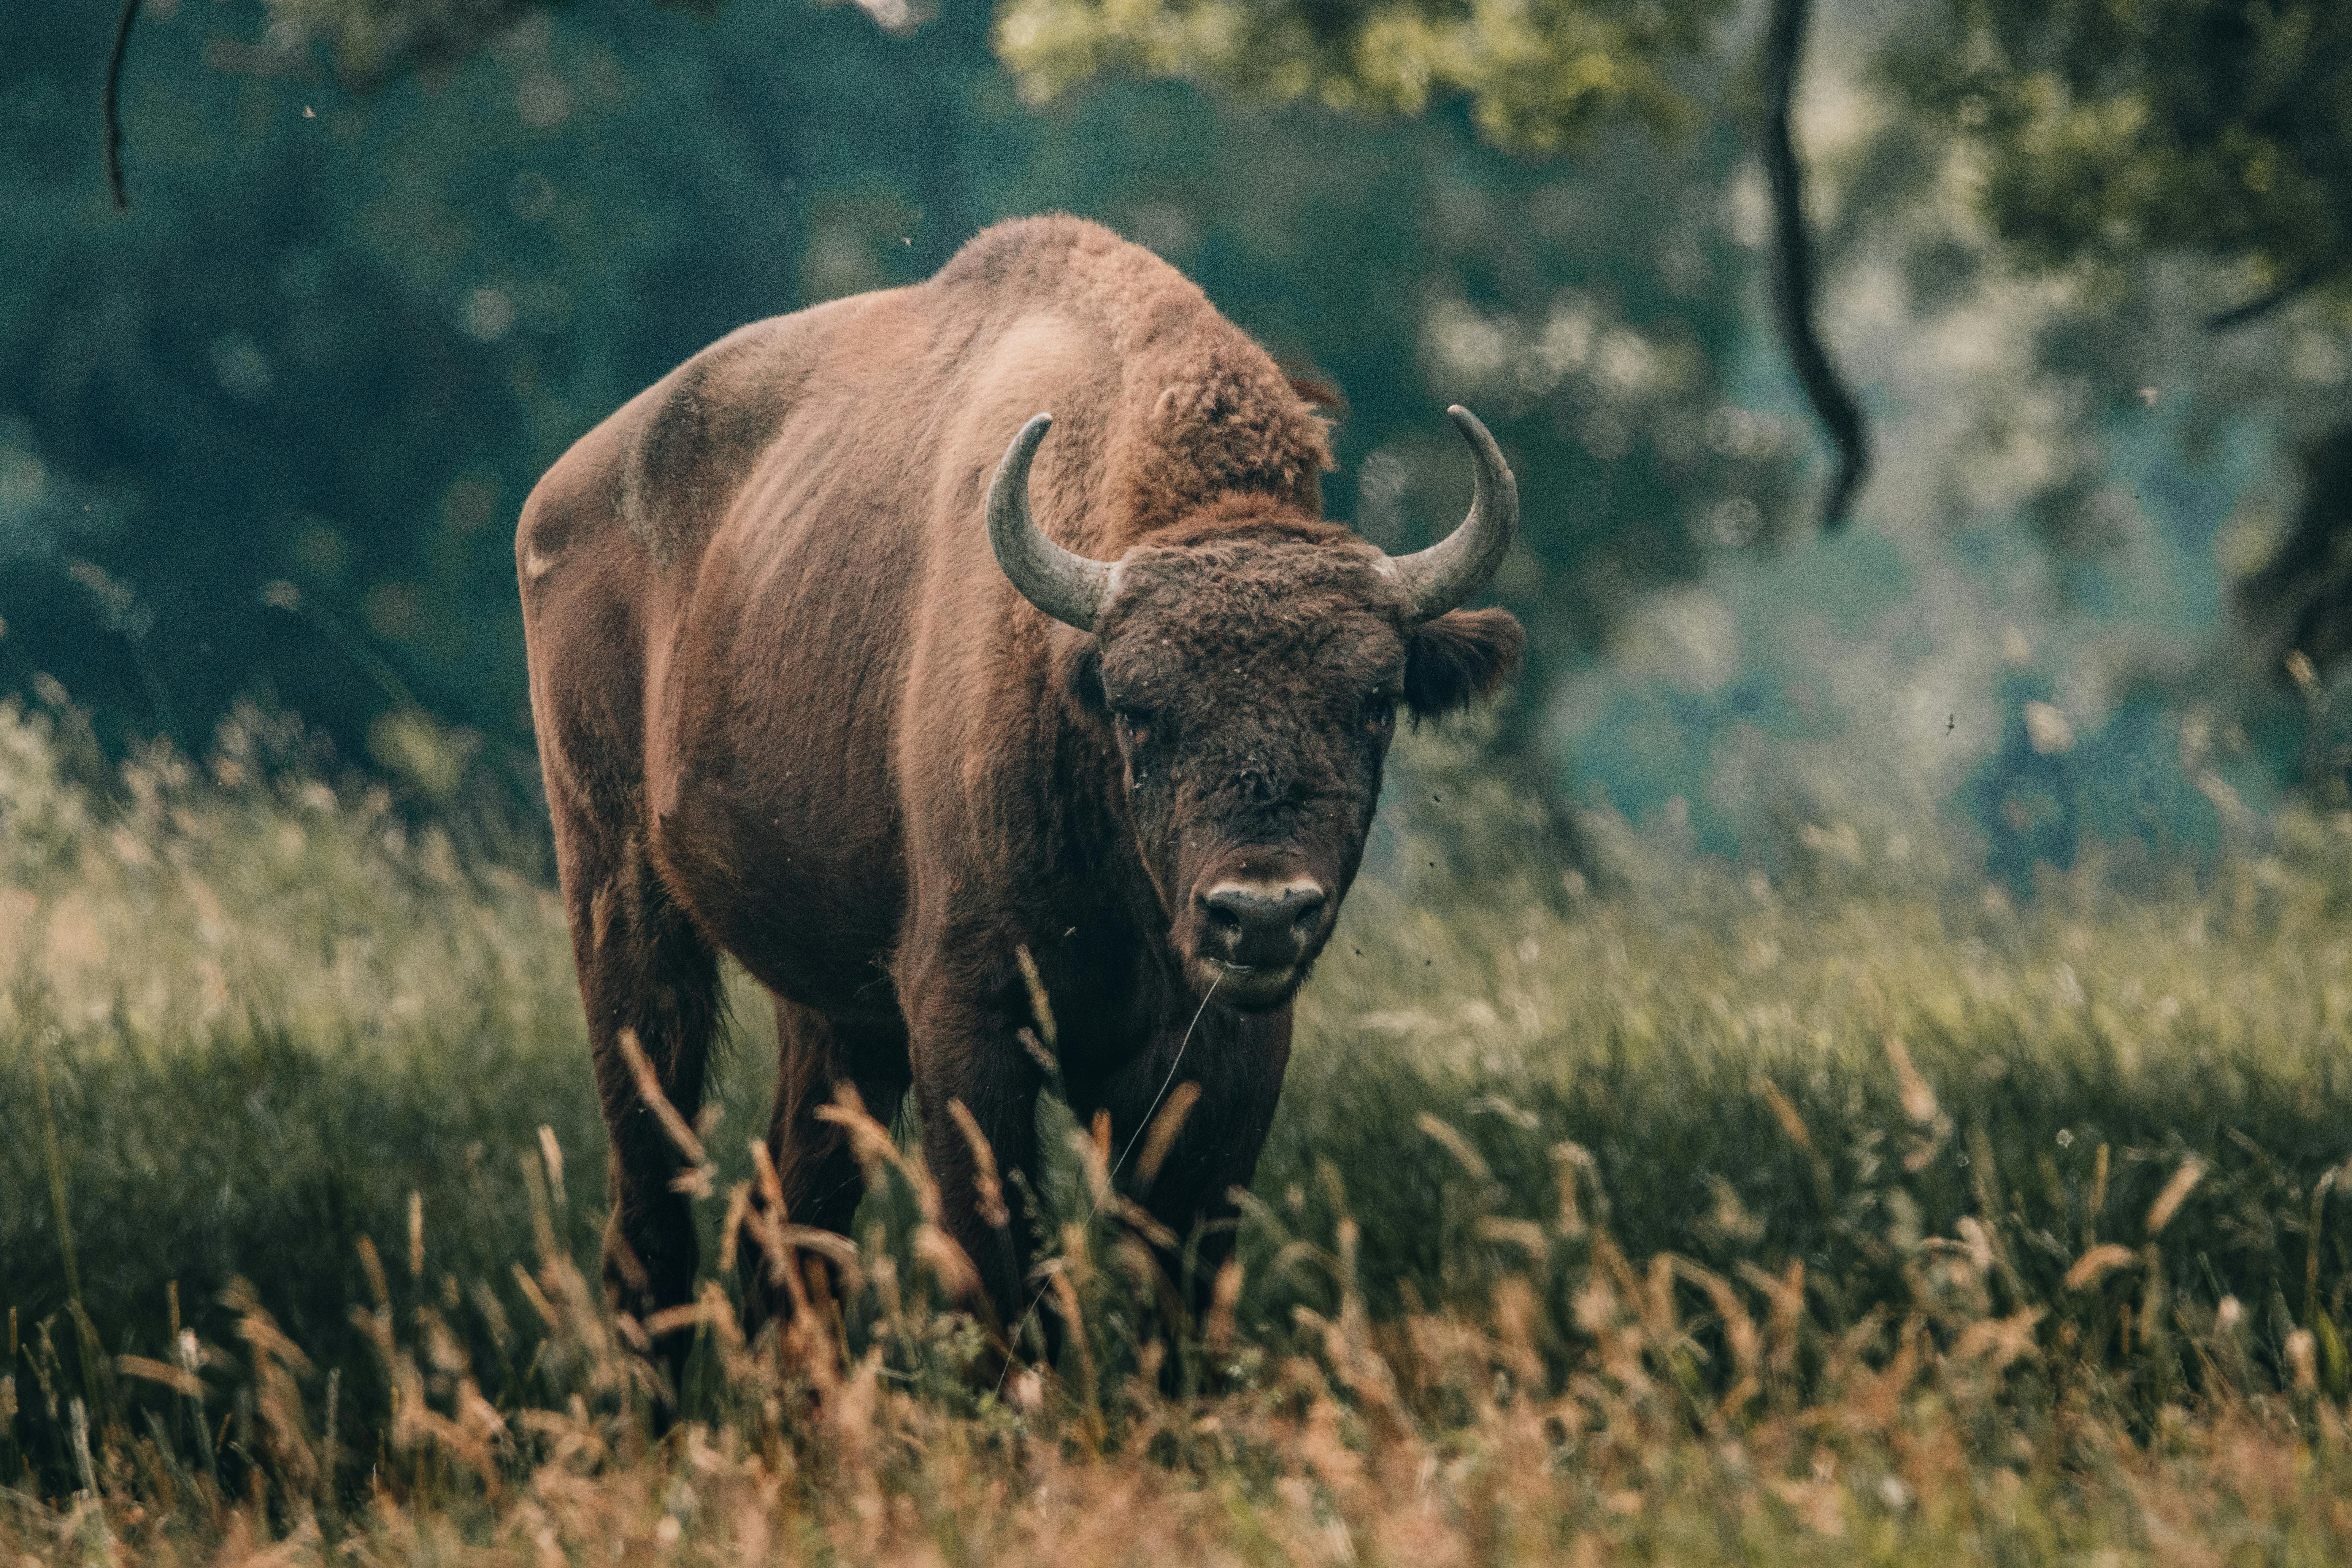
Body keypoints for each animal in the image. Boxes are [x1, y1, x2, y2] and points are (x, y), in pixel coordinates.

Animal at [518, 215, 1522, 1369]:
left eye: (1374, 699)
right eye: (1137, 705)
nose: (1262, 912)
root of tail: (566, 490)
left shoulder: (1219, 1052)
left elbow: (1179, 1287)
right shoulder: (969, 1018)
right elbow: (1006, 1282)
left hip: (833, 1016)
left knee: (788, 1236)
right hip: (623, 911)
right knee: (653, 1211)